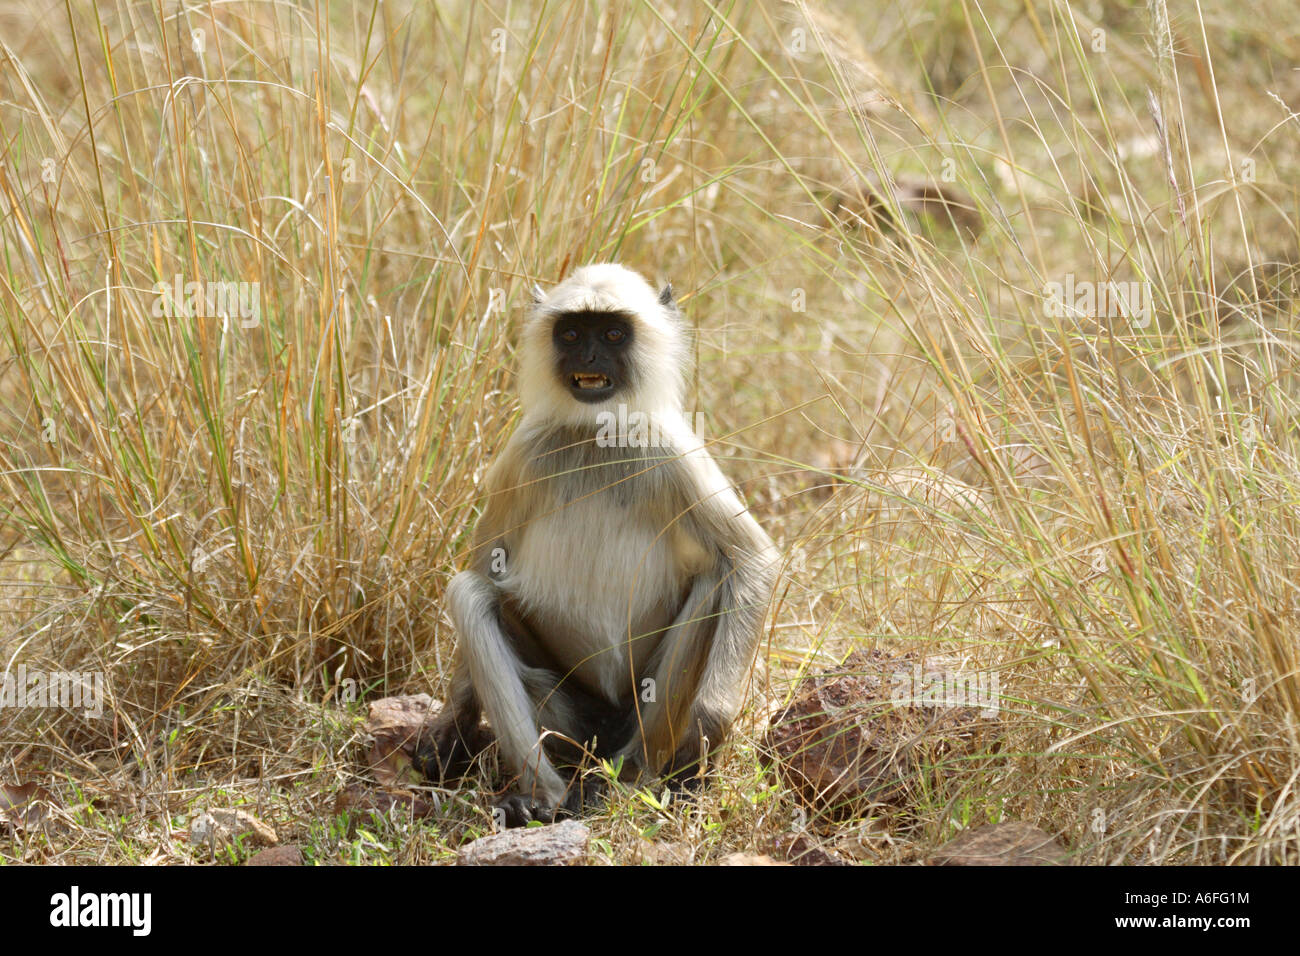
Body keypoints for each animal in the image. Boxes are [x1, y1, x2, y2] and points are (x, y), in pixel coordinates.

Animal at [415, 264, 779, 827]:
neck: (596, 435)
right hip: (566, 715)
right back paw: (543, 798)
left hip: (634, 714)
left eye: (611, 334)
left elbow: (750, 562)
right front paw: (452, 722)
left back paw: (630, 777)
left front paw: (706, 733)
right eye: (570, 334)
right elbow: (484, 566)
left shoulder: (673, 450)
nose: (588, 359)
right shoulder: (522, 454)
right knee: (470, 594)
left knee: (714, 578)